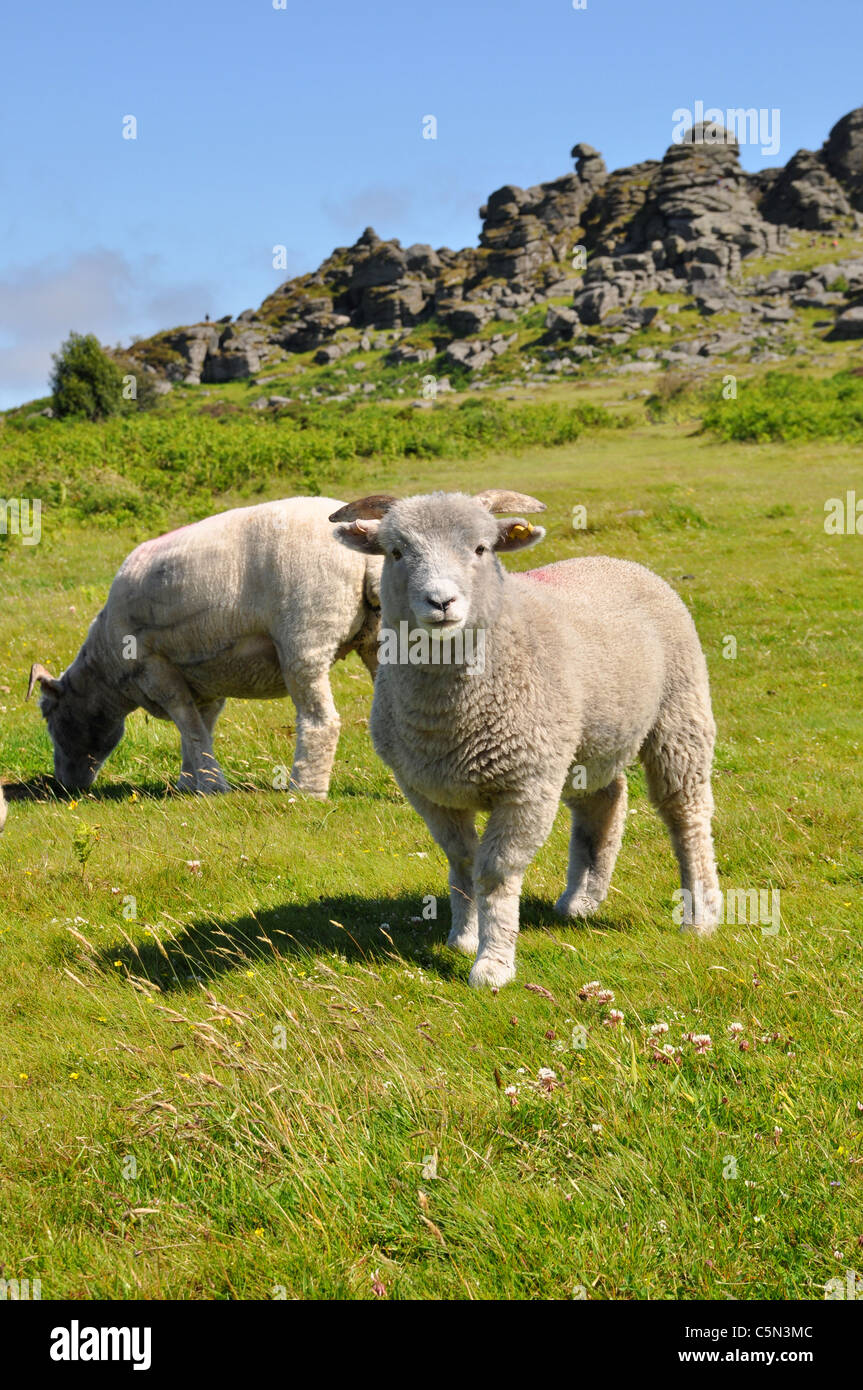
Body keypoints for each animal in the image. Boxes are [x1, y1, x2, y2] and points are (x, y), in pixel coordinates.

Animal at [28, 497, 382, 798]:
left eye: (49, 716)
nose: (63, 785)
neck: (108, 671)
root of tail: (368, 556)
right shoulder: (206, 677)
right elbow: (200, 729)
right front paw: (191, 781)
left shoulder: (155, 669)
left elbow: (191, 727)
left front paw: (212, 785)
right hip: (381, 639)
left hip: (305, 638)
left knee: (320, 720)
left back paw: (305, 789)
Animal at [333, 489, 721, 988]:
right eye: (396, 552)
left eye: (482, 548)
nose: (441, 601)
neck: (451, 719)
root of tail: (616, 561)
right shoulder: (428, 790)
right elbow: (463, 863)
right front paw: (463, 937)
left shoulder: (527, 786)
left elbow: (496, 872)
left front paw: (493, 962)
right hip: (584, 740)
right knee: (604, 802)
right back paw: (582, 900)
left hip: (679, 714)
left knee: (686, 814)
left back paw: (701, 916)